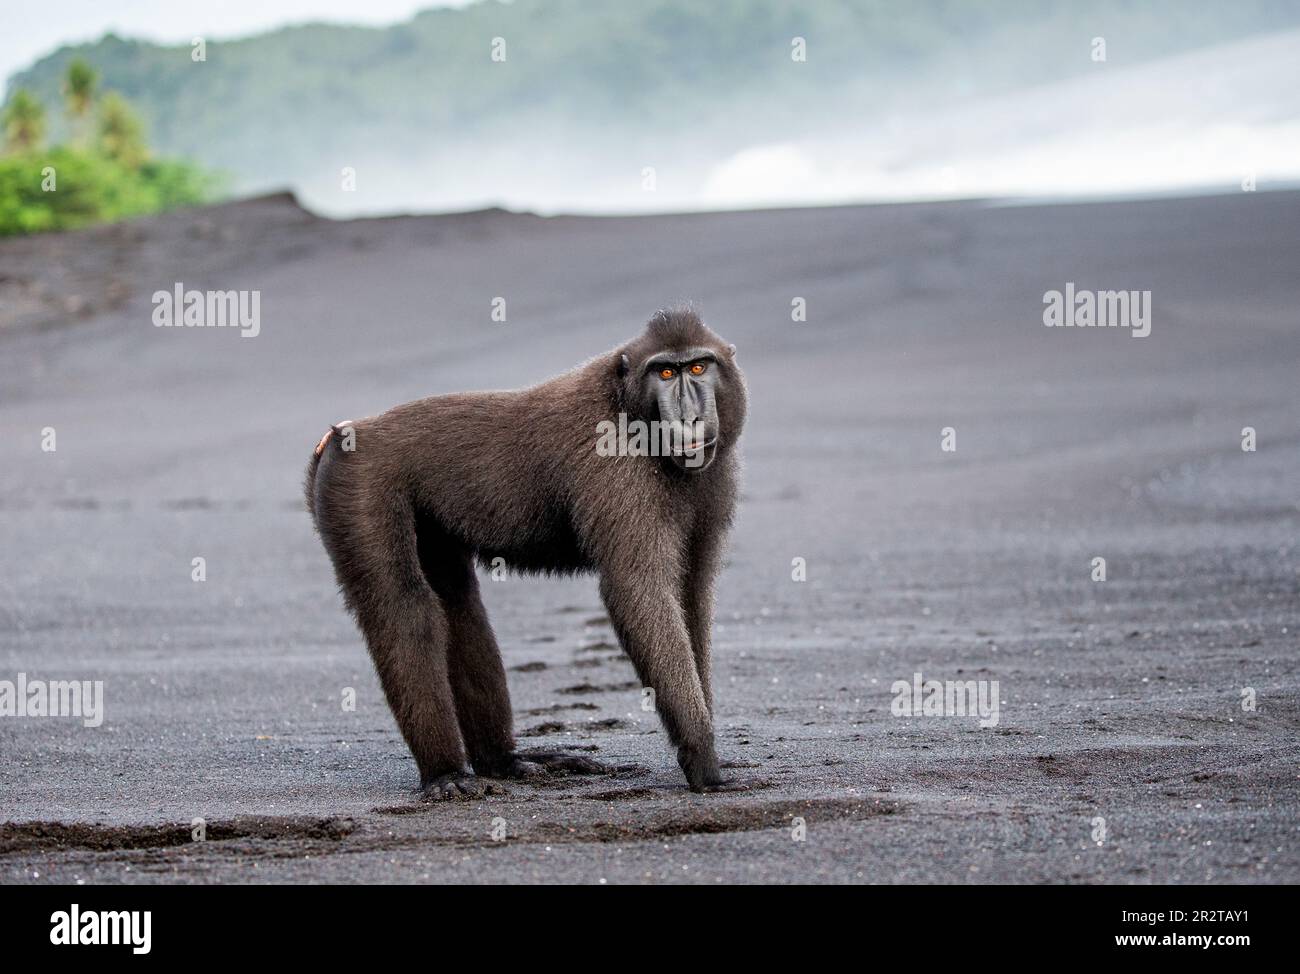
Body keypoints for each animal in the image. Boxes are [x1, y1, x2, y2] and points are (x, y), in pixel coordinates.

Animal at [305, 308, 748, 798]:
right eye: (666, 372)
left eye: (698, 367)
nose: (691, 416)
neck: (627, 405)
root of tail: (348, 430)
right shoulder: (615, 465)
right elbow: (640, 593)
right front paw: (702, 759)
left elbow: (692, 596)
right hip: (358, 482)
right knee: (404, 611)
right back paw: (446, 773)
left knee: (459, 608)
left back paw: (502, 762)